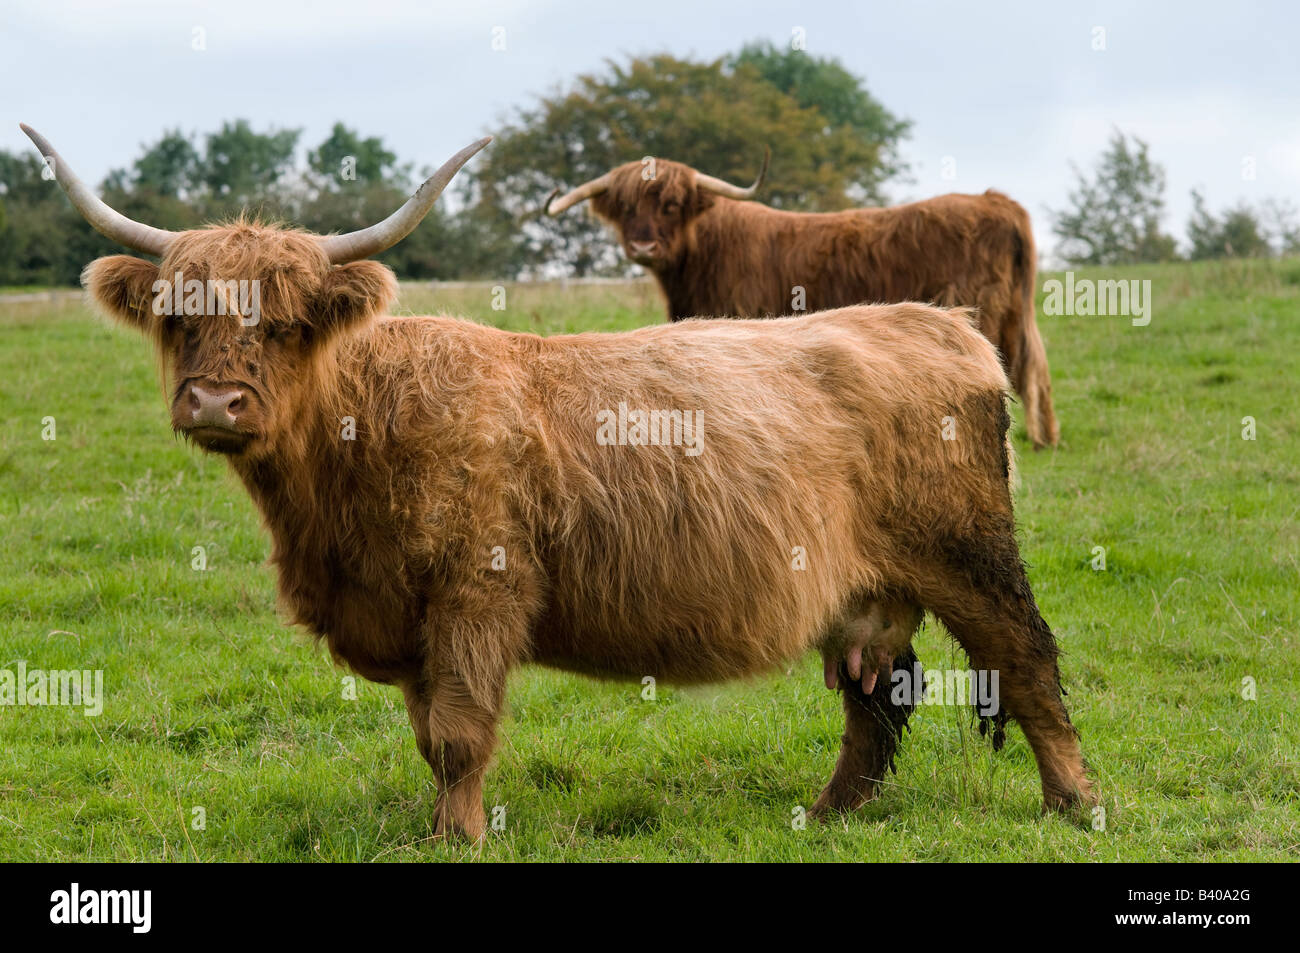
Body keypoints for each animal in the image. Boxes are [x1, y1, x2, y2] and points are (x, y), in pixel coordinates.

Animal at [547, 155, 1061, 449]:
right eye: (626, 207)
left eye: (671, 205)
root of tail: (996, 201)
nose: (643, 247)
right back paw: (1046, 438)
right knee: (1037, 367)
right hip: (1018, 313)